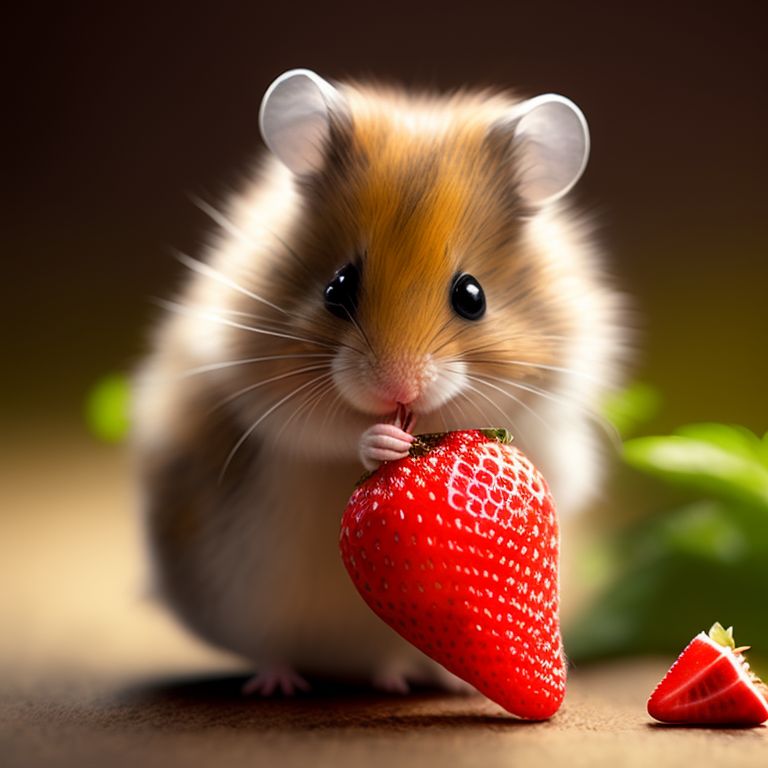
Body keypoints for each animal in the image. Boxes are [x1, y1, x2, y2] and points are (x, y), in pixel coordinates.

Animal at [133, 69, 624, 693]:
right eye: (336, 287)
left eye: (473, 296)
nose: (398, 389)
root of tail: (337, 663)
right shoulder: (258, 386)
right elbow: (325, 432)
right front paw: (384, 441)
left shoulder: (549, 394)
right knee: (272, 648)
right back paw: (279, 684)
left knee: (389, 659)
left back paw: (411, 680)